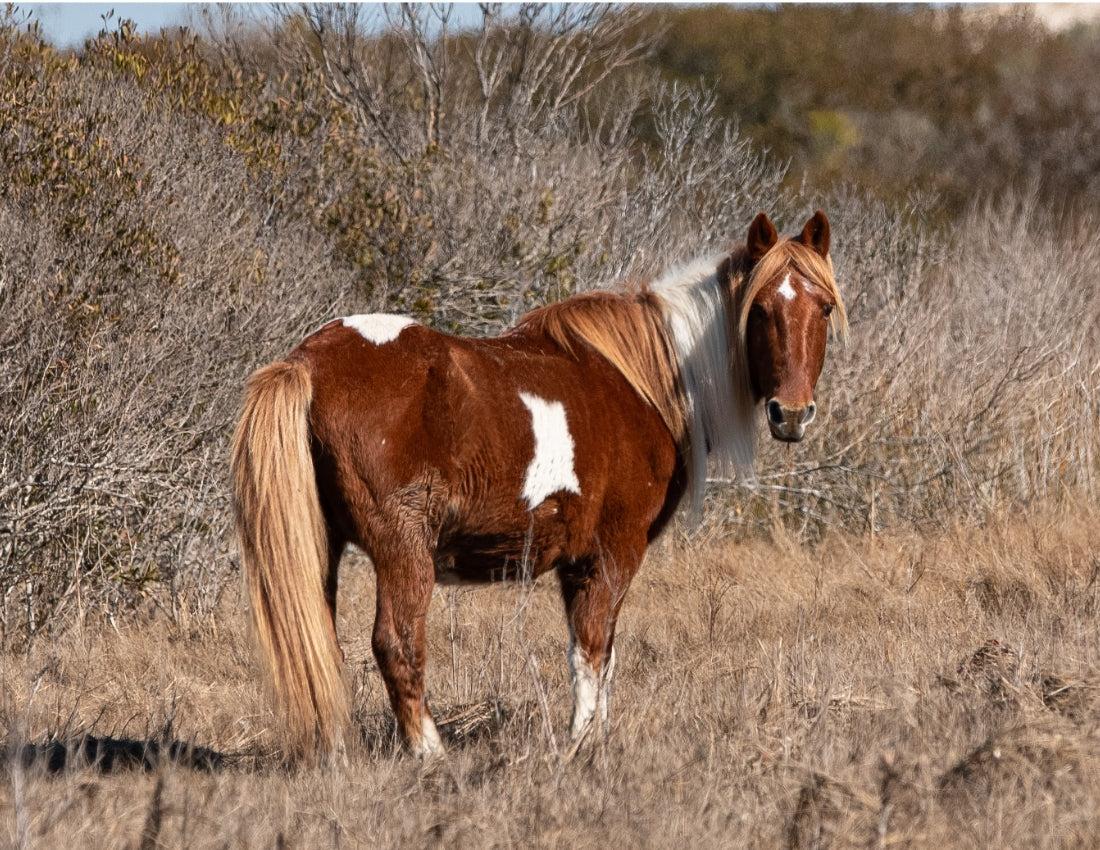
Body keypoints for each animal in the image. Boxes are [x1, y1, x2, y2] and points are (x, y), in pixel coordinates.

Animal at [231, 210, 848, 760]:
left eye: (822, 308)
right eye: (760, 309)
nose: (791, 414)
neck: (643, 381)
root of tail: (307, 362)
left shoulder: (578, 564)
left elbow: (597, 655)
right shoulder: (612, 552)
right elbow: (593, 654)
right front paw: (580, 749)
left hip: (322, 548)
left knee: (317, 643)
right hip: (403, 551)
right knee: (395, 644)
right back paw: (431, 755)